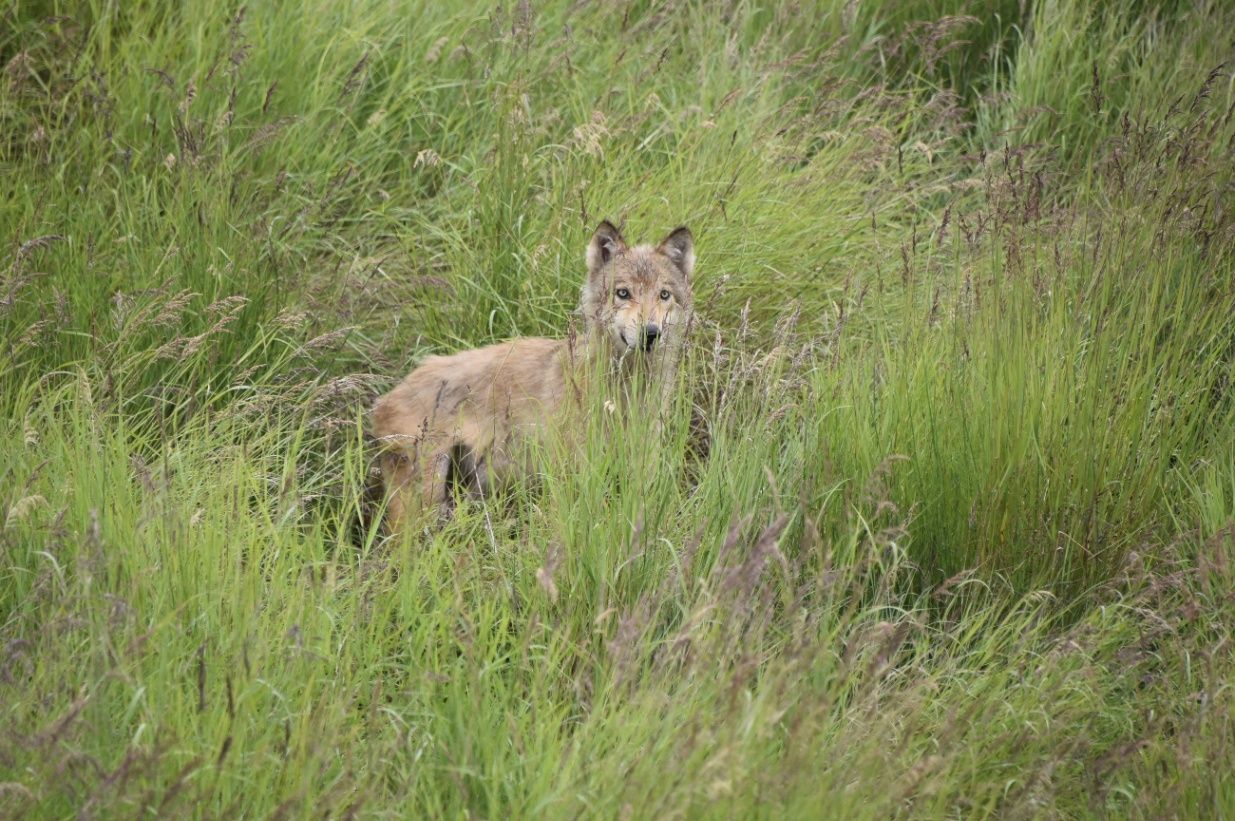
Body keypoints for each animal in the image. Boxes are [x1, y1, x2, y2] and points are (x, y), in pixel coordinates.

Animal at [370, 221, 694, 536]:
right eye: (623, 293)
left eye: (664, 295)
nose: (651, 333)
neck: (626, 393)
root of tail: (384, 399)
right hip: (424, 503)